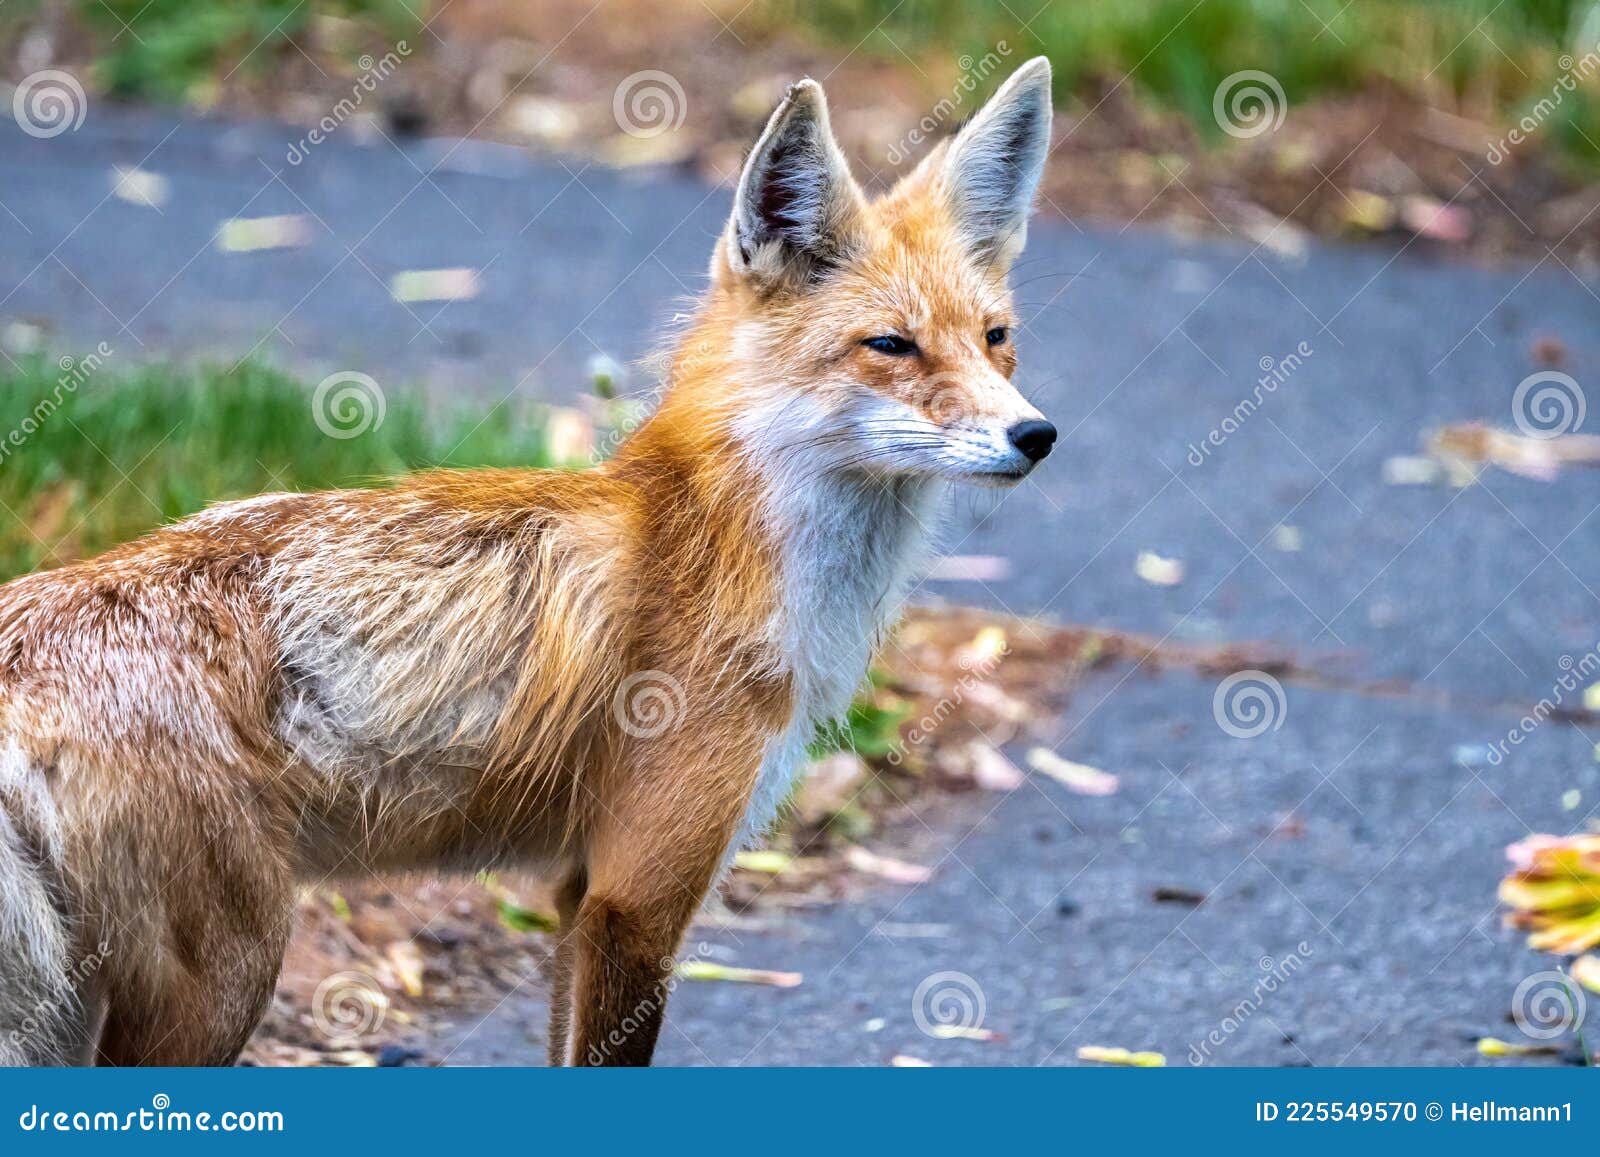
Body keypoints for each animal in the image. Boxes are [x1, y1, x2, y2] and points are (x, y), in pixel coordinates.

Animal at [0, 58, 1057, 1066]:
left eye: (996, 338)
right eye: (892, 345)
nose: (1036, 435)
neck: (722, 542)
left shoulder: (576, 888)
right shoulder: (638, 898)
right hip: (226, 976)